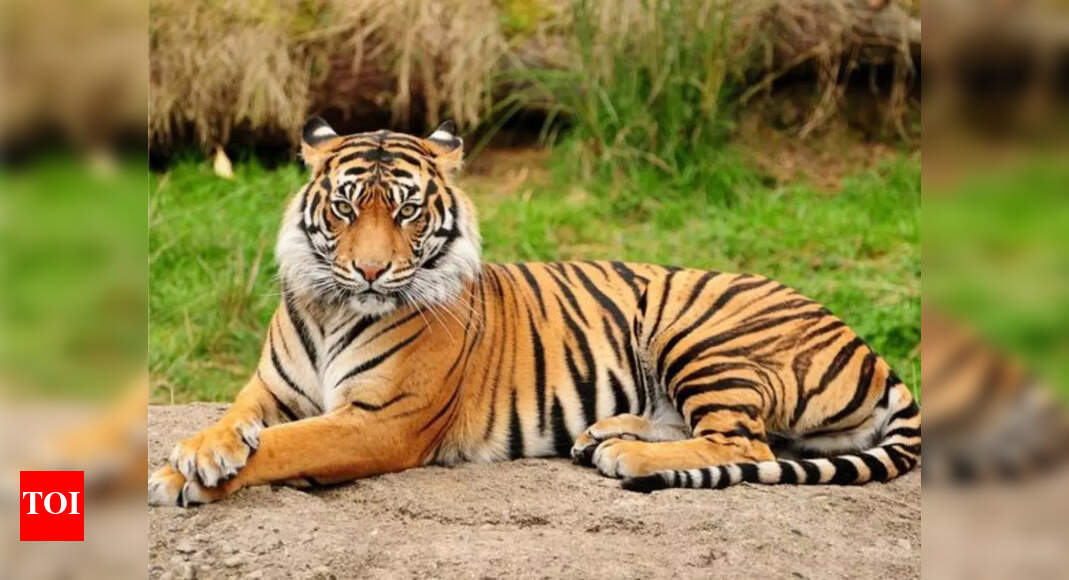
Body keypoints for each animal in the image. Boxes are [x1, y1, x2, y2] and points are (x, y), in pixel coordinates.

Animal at [148, 118, 921, 506]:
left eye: (405, 210)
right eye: (344, 207)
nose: (369, 270)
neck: (334, 306)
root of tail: (870, 350)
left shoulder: (381, 421)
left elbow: (288, 445)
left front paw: (186, 476)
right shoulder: (270, 389)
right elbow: (237, 420)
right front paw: (196, 453)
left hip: (699, 331)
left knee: (746, 444)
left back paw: (624, 453)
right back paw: (602, 434)